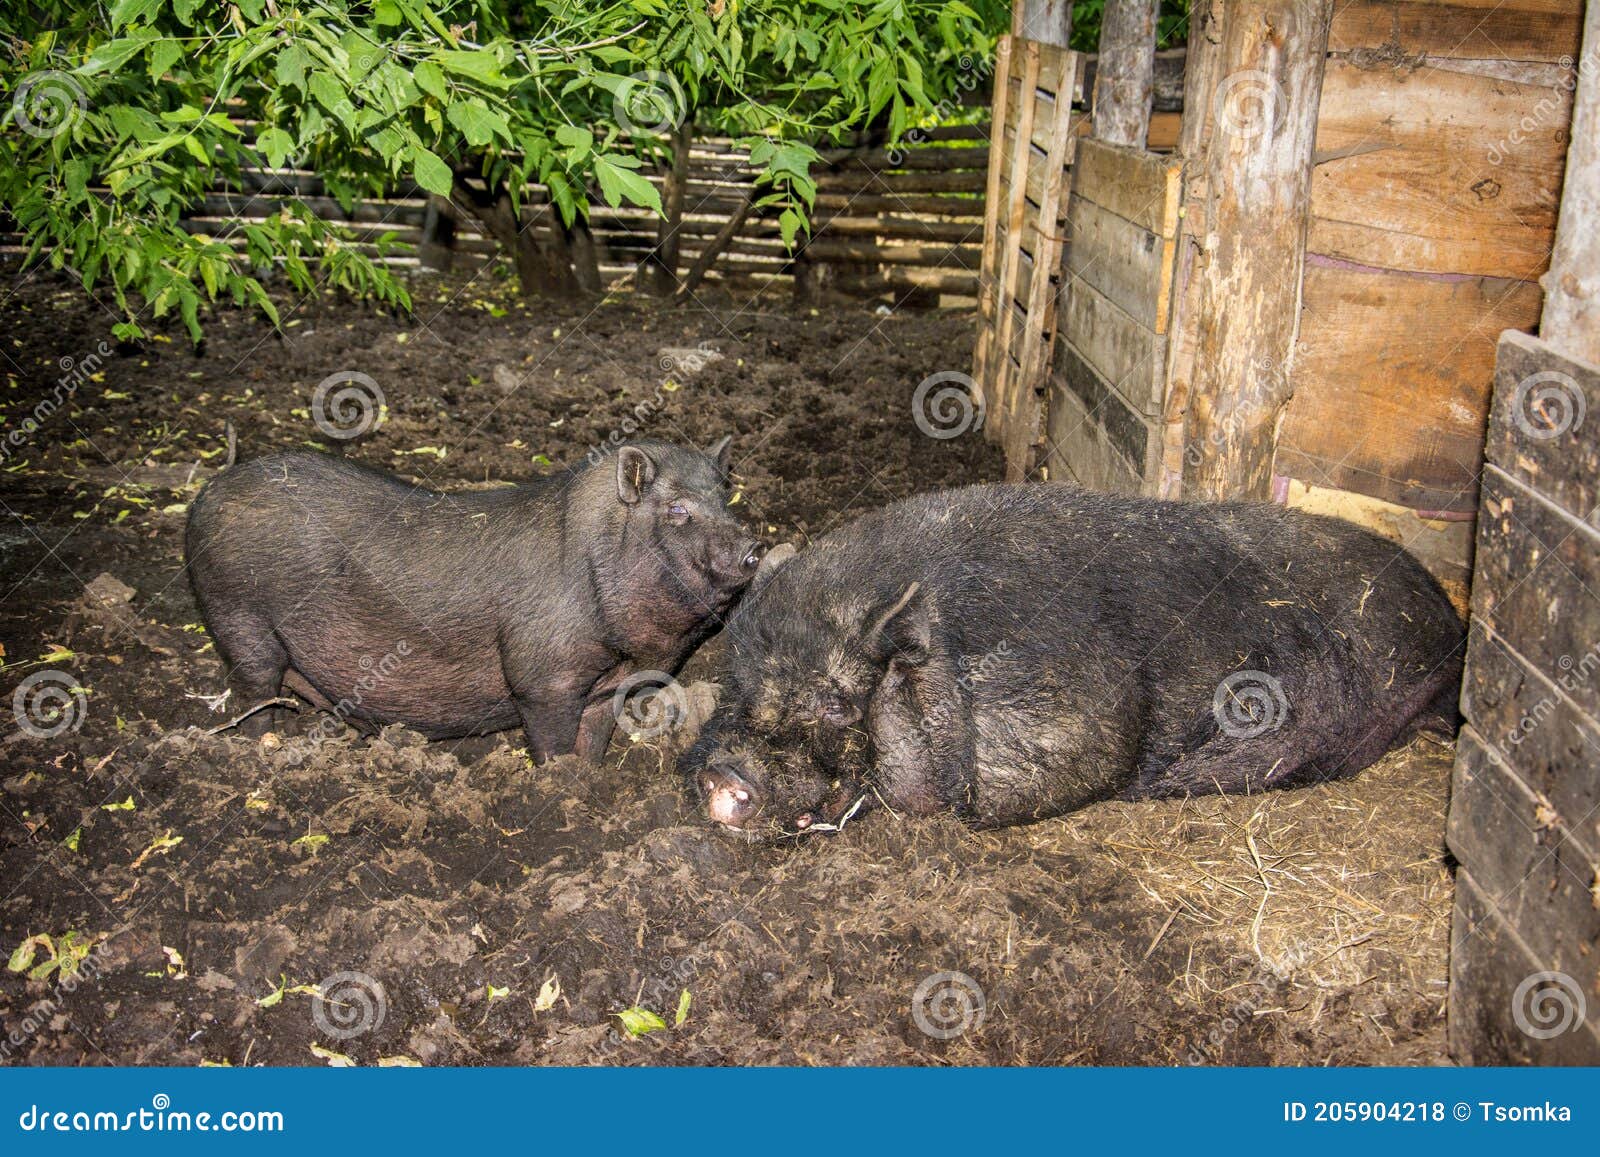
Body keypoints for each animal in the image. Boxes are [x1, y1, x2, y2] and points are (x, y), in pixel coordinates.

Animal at [186, 438, 764, 761]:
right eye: (678, 509)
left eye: (726, 497)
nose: (755, 547)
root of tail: (209, 491)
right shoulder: (542, 675)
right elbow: (551, 738)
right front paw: (558, 786)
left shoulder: (610, 686)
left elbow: (595, 738)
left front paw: (587, 780)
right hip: (237, 612)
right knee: (255, 688)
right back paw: (262, 747)